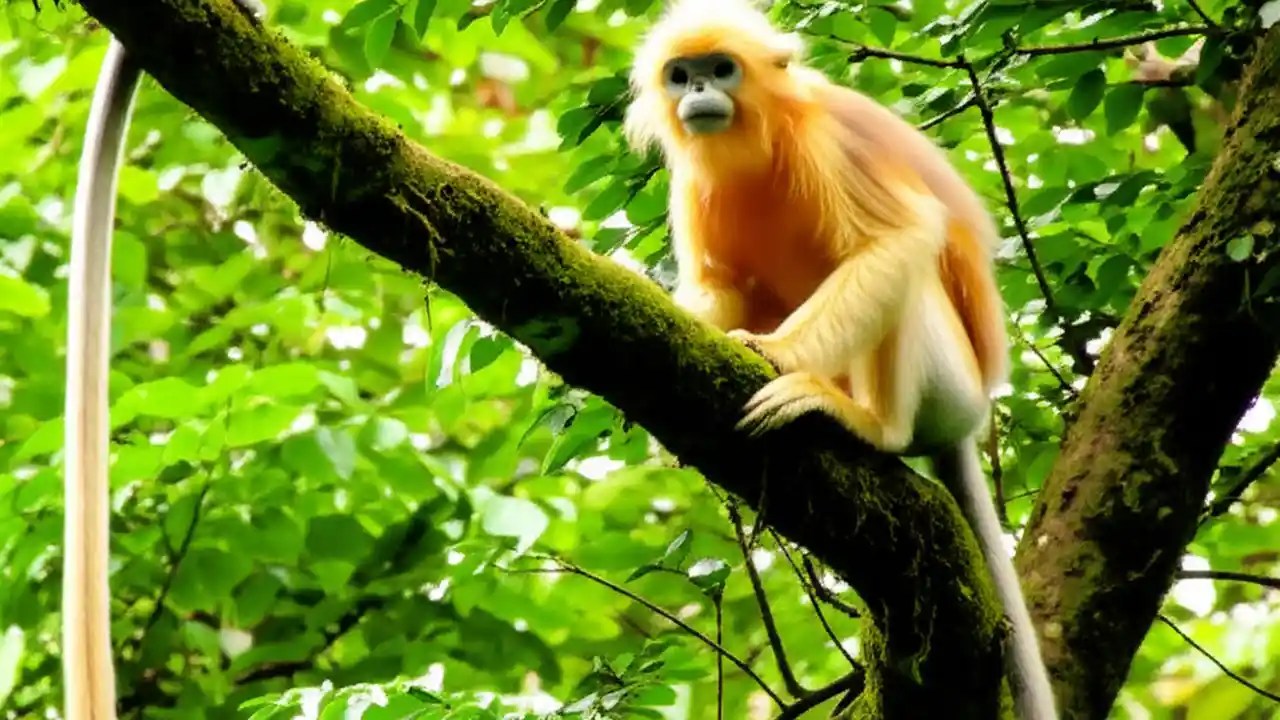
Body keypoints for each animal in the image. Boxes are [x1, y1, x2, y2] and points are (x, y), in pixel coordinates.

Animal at [622, 1, 1057, 718]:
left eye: (722, 68)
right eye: (680, 75)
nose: (699, 90)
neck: (762, 140)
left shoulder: (828, 144)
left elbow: (898, 239)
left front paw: (775, 352)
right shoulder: (694, 180)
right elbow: (720, 289)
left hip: (951, 387)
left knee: (909, 271)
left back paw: (868, 423)